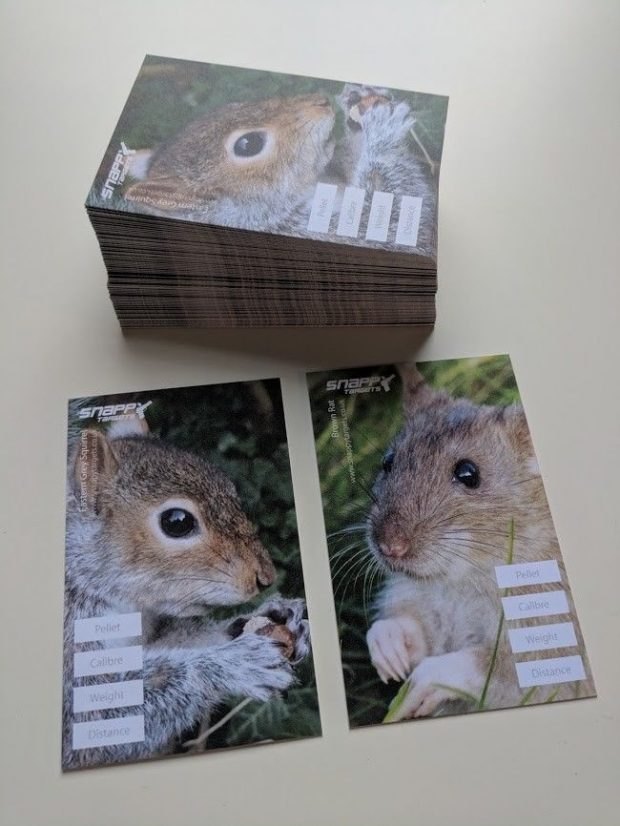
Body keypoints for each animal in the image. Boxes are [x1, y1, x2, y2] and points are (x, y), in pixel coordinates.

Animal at [63, 414, 309, 769]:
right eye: (176, 522)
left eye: (229, 488)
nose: (266, 577)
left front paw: (275, 617)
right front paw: (234, 664)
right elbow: (100, 719)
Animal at [121, 84, 437, 255]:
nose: (321, 101)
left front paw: (358, 104)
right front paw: (381, 131)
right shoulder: (314, 234)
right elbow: (394, 217)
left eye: (237, 103)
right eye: (248, 144)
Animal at [365, 364, 594, 720]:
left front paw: (424, 682)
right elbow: (412, 633)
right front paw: (388, 645)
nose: (389, 546)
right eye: (388, 462)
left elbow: (490, 667)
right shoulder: (426, 603)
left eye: (468, 473)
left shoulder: (550, 643)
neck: (463, 578)